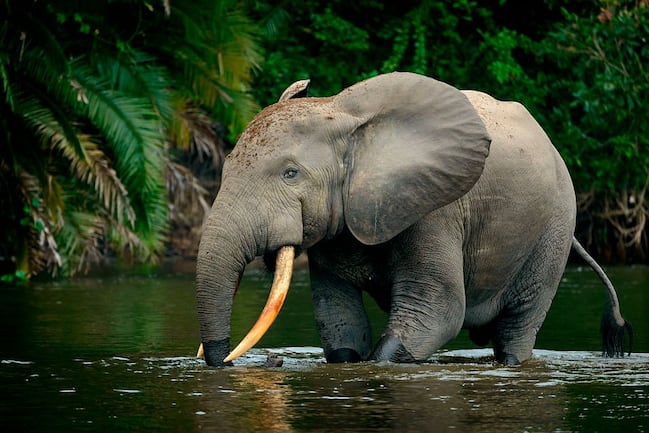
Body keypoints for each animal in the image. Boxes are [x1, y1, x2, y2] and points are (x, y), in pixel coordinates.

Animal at [195, 72, 632, 367]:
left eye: (291, 173)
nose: (224, 361)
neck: (340, 111)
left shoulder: (435, 209)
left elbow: (438, 311)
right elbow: (339, 319)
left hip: (554, 227)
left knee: (517, 329)